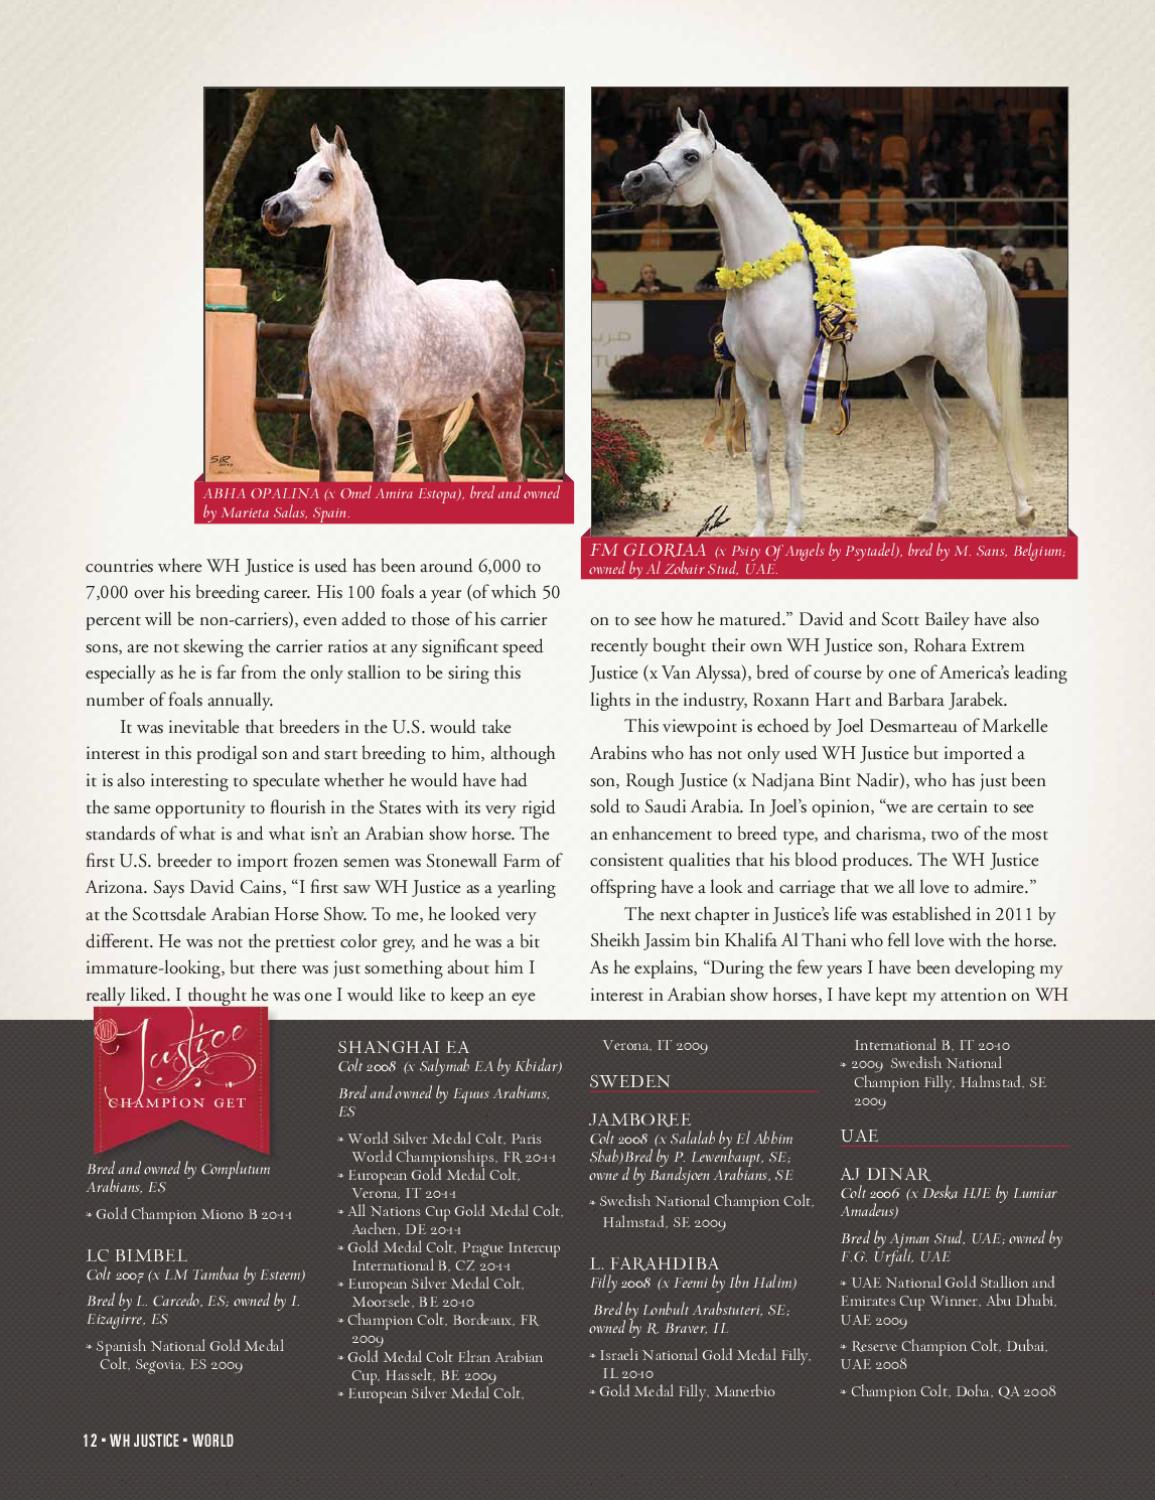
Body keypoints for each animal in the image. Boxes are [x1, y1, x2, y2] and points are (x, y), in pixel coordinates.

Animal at [261, 126, 525, 483]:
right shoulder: (323, 412)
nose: (272, 209)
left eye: (326, 176)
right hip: (429, 418)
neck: (355, 312)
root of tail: (494, 292)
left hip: (503, 410)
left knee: (516, 474)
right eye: (298, 171)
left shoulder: (384, 419)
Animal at [621, 112, 1035, 537]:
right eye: (663, 149)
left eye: (691, 156)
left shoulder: (791, 379)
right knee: (941, 429)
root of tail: (959, 255)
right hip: (915, 369)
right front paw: (760, 528)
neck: (769, 277)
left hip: (966, 364)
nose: (632, 181)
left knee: (999, 421)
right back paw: (931, 515)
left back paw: (1023, 510)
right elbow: (760, 453)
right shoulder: (751, 380)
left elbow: (792, 456)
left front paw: (791, 528)